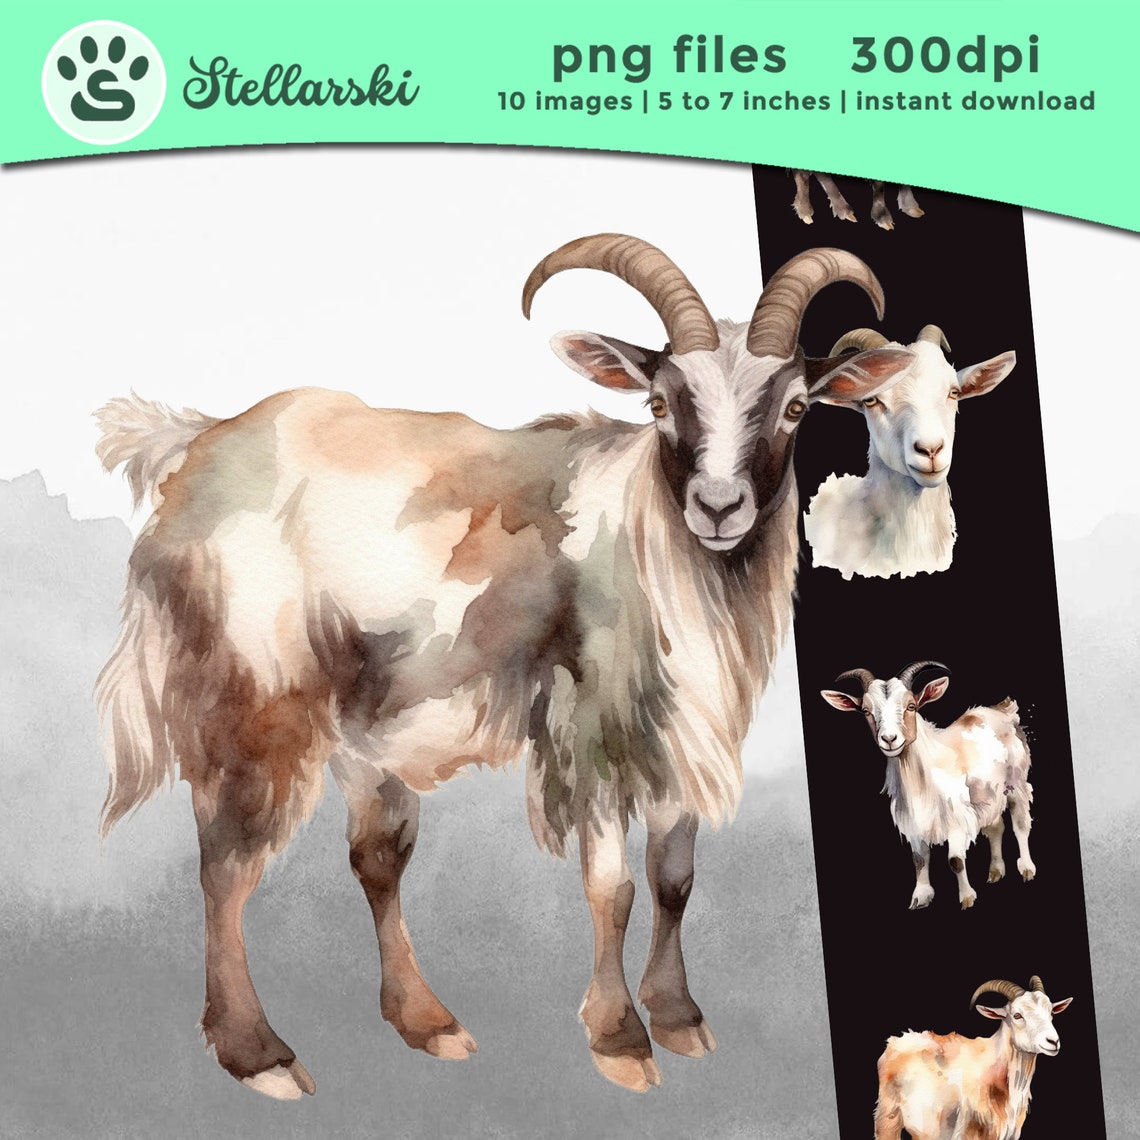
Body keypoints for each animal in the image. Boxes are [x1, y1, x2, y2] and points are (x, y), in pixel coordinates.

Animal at [95, 235, 916, 1099]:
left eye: (794, 406)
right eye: (660, 404)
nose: (718, 507)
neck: (643, 539)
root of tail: (188, 448)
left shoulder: (673, 732)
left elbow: (673, 875)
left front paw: (680, 1018)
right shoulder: (588, 729)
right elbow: (612, 886)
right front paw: (620, 1040)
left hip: (364, 712)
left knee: (374, 856)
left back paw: (424, 1020)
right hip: (256, 696)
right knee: (226, 862)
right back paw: (258, 1054)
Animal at [820, 661, 1034, 911]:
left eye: (911, 706)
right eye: (865, 710)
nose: (889, 739)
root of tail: (1004, 710)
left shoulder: (956, 818)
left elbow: (955, 860)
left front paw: (966, 897)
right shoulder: (915, 822)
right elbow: (919, 859)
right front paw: (920, 898)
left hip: (1015, 783)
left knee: (1020, 825)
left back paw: (1027, 869)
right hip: (987, 794)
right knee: (995, 827)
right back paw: (995, 871)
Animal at [875, 975, 1073, 1140]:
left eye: (1051, 1012)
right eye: (1017, 1015)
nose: (1053, 1041)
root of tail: (897, 1040)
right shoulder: (971, 1132)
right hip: (888, 1117)